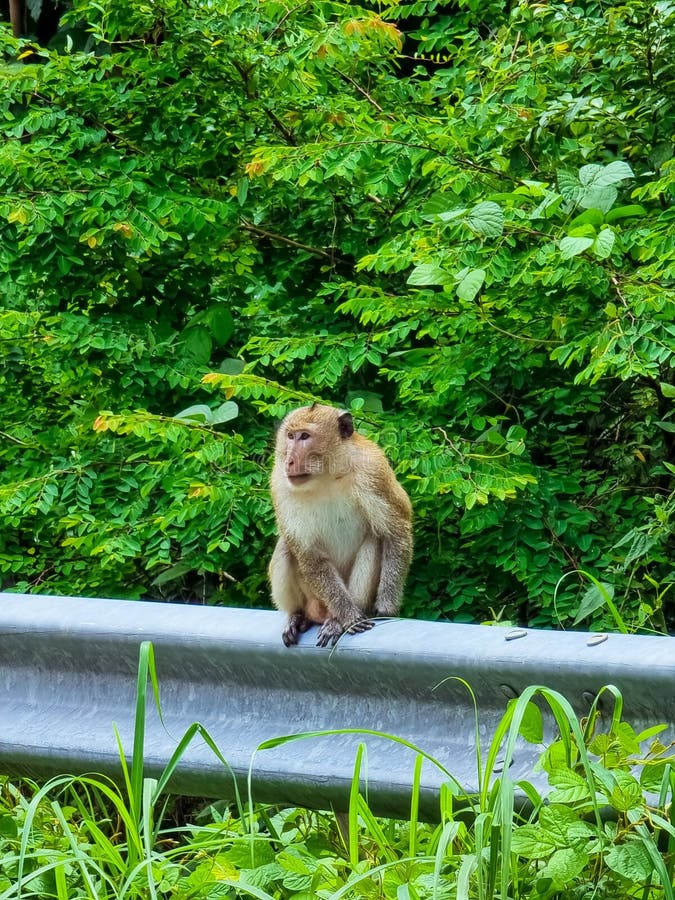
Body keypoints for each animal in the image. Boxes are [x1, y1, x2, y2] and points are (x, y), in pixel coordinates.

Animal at [269, 404, 413, 647]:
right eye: (290, 436)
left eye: (305, 436)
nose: (289, 460)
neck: (327, 474)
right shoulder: (279, 482)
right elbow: (309, 554)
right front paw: (348, 616)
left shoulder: (373, 471)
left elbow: (396, 532)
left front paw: (385, 608)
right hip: (312, 597)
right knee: (286, 546)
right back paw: (297, 615)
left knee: (374, 539)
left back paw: (337, 621)